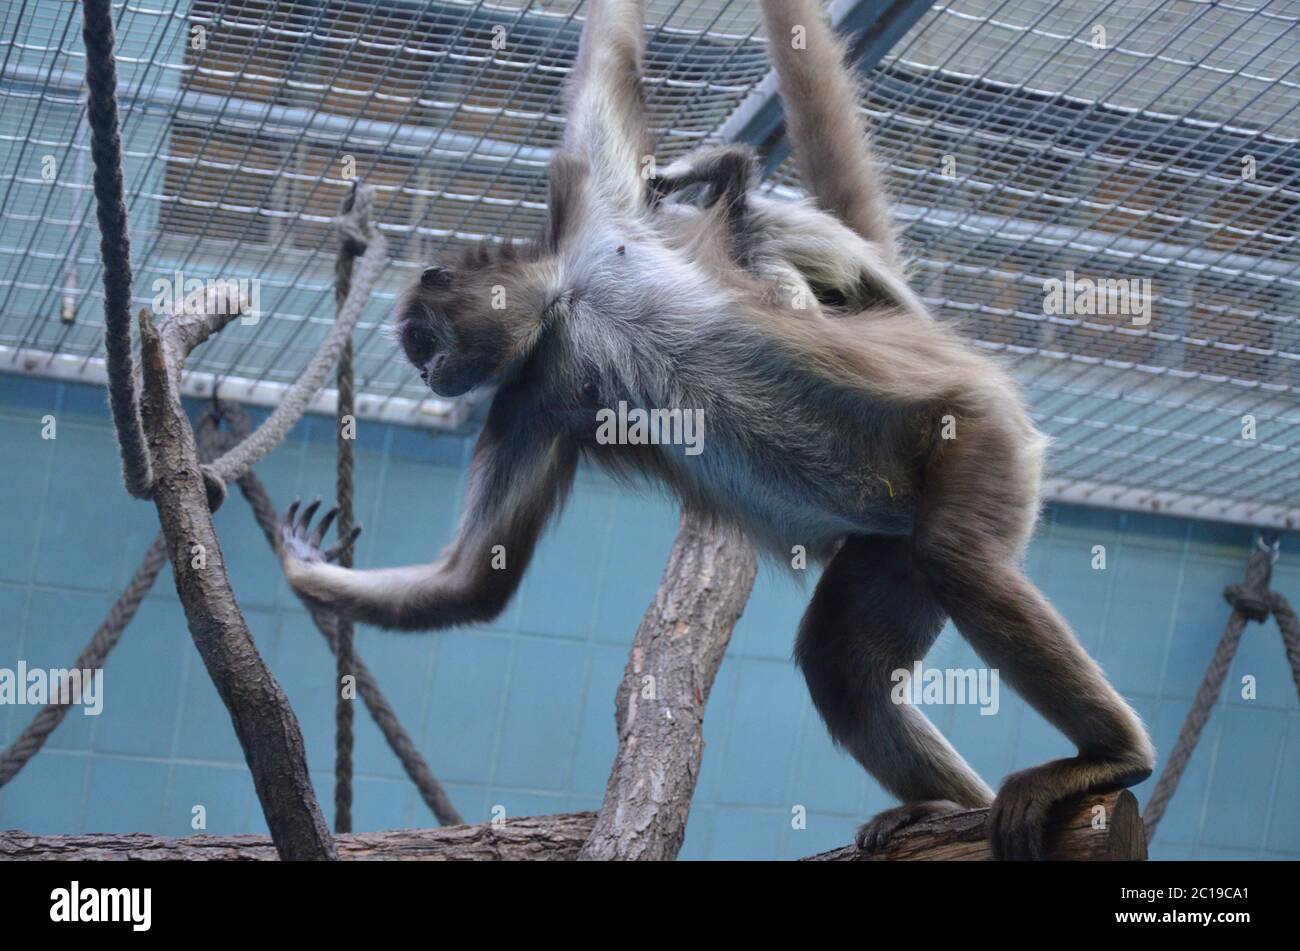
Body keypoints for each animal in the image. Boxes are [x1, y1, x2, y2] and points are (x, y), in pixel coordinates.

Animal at [280, 0, 1155, 860]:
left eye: (425, 344)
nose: (430, 376)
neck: (568, 308)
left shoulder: (597, 215)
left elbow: (611, 51)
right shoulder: (532, 397)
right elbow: (472, 580)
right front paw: (304, 568)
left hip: (975, 432)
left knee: (959, 559)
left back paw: (1113, 755)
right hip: (891, 540)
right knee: (845, 658)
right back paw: (941, 805)